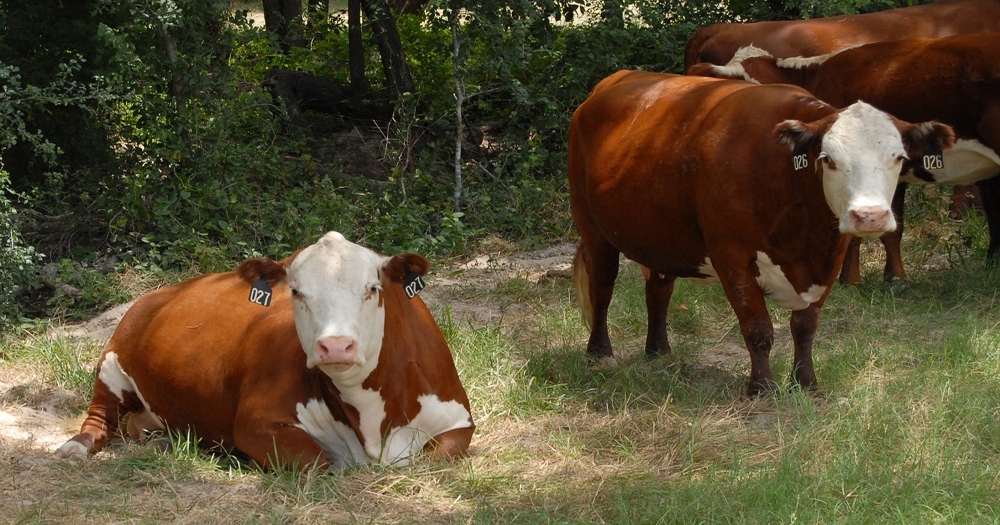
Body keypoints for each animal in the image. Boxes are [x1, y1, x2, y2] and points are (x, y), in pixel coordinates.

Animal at [56, 231, 475, 470]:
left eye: (373, 289)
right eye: (297, 291)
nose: (335, 346)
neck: (372, 422)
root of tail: (159, 293)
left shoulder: (460, 421)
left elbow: (435, 459)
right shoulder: (255, 424)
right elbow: (318, 462)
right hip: (111, 364)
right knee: (99, 419)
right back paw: (74, 448)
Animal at [569, 71, 954, 395]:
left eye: (898, 157)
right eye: (827, 158)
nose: (869, 216)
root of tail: (609, 83)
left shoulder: (832, 255)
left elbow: (805, 325)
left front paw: (805, 382)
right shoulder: (731, 254)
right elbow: (757, 327)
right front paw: (762, 387)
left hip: (661, 236)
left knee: (659, 290)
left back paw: (659, 350)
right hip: (593, 229)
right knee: (602, 288)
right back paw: (599, 353)